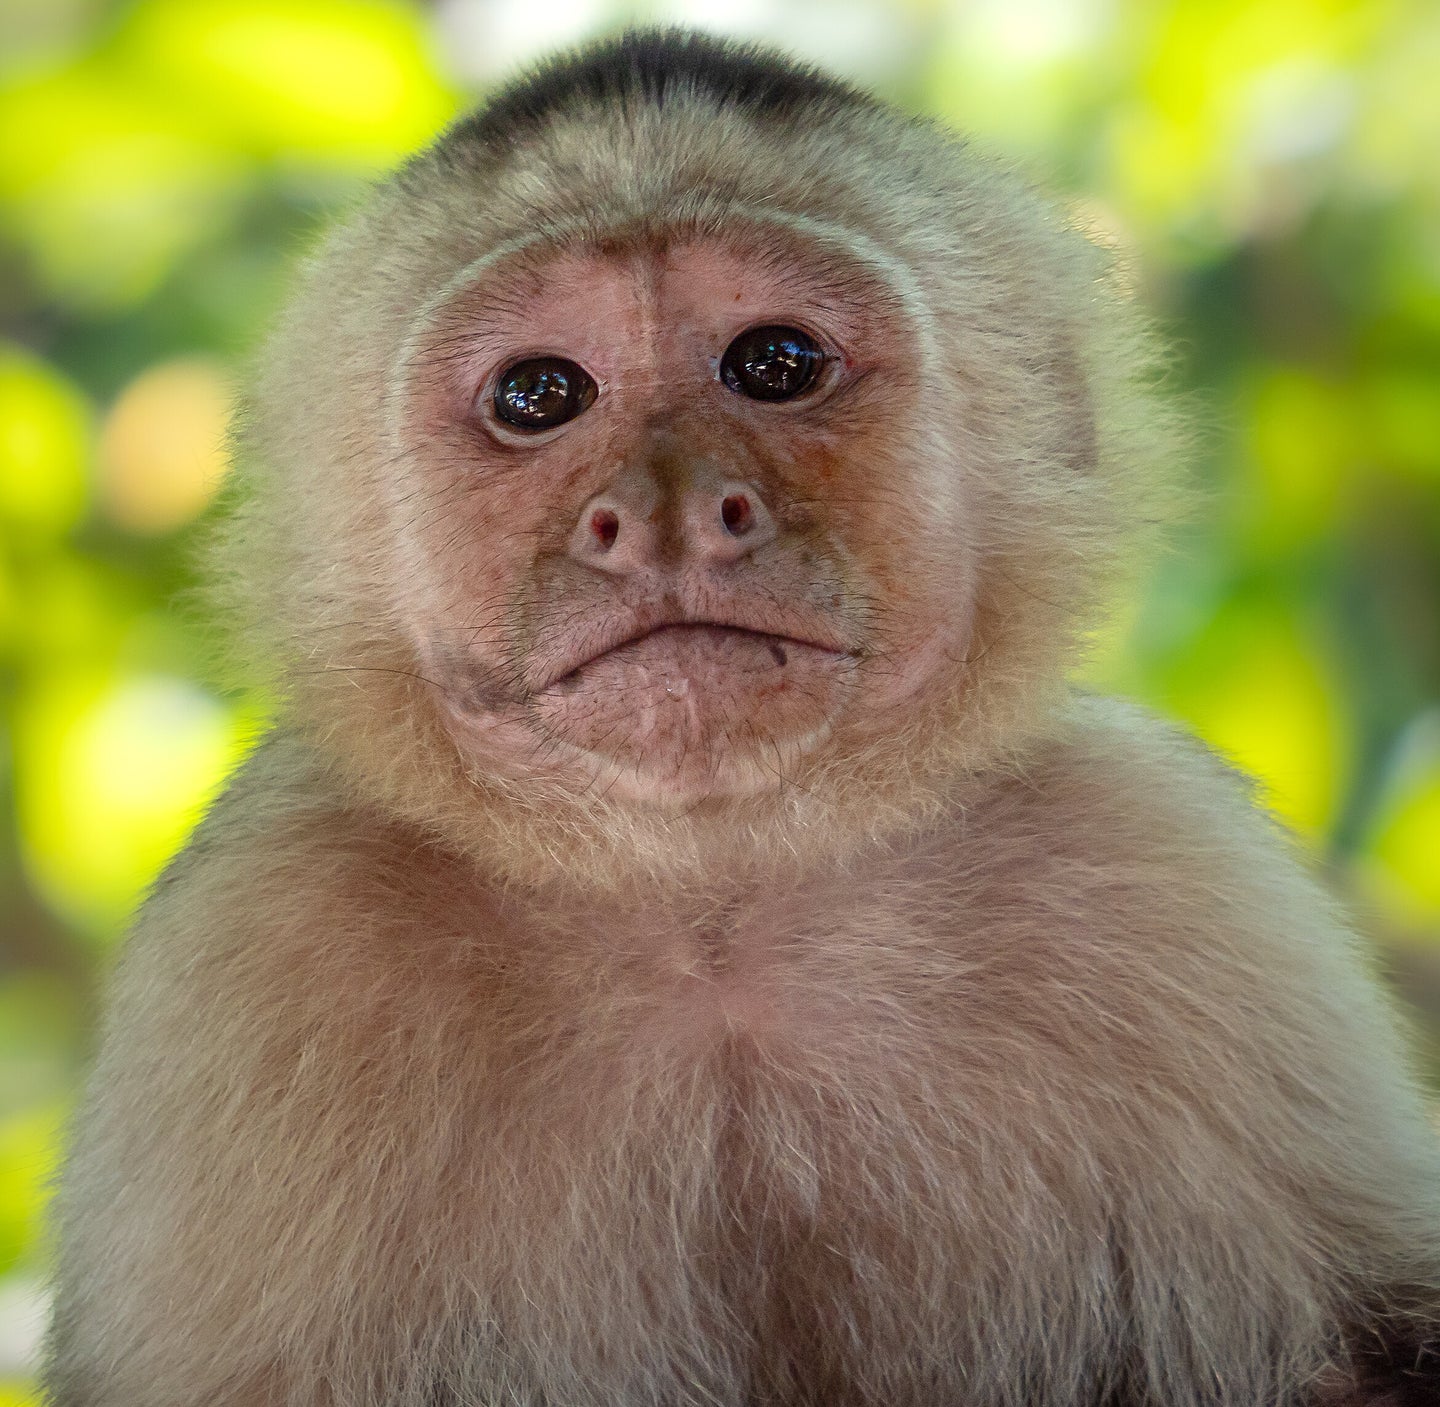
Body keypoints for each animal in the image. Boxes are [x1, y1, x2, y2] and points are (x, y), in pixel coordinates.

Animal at [41, 27, 1440, 1407]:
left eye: (775, 365)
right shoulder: (261, 939)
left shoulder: (1163, 863)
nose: (665, 513)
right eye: (538, 395)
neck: (711, 911)